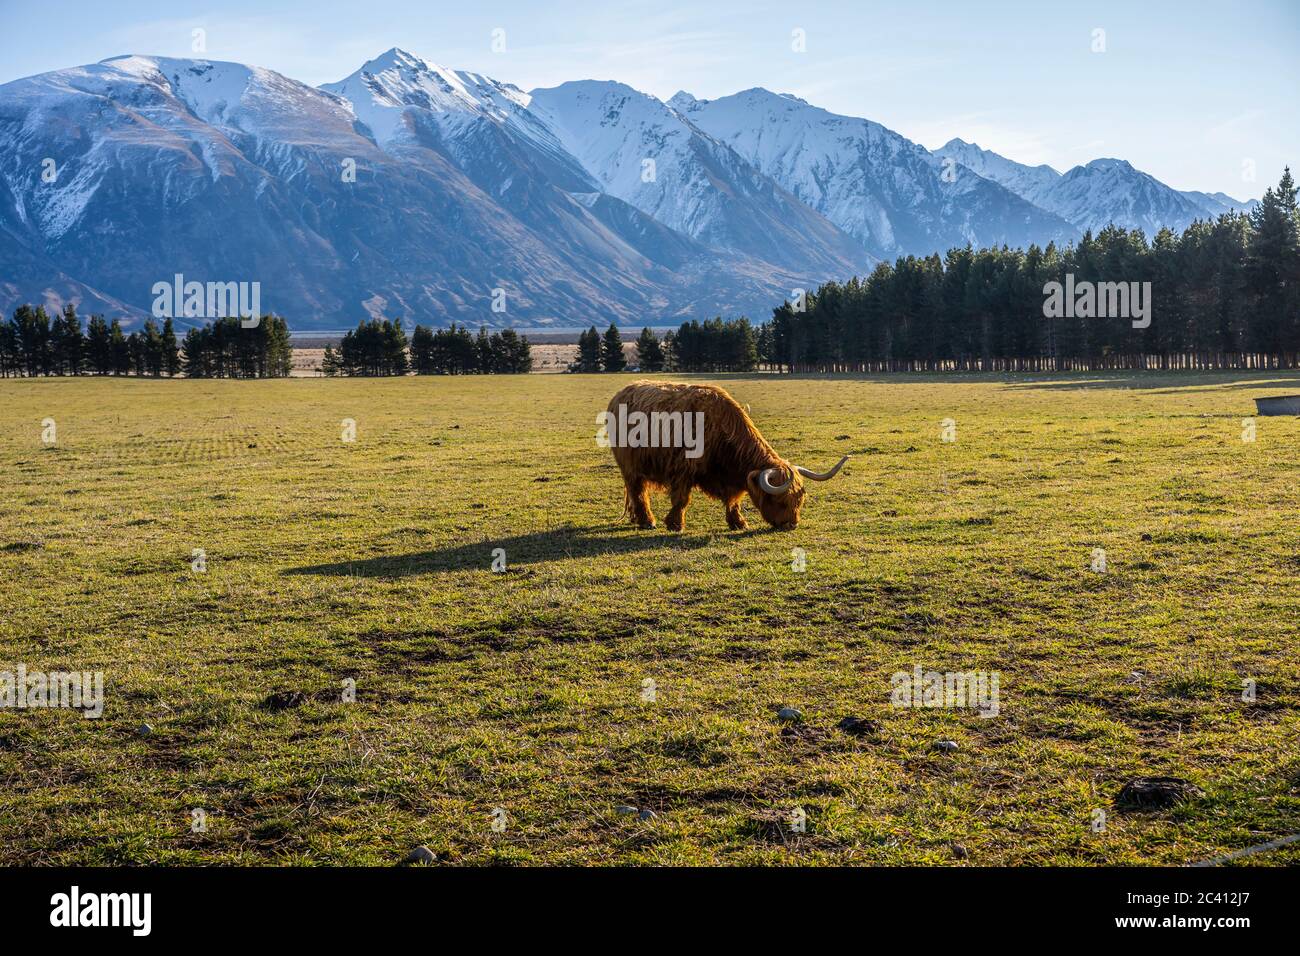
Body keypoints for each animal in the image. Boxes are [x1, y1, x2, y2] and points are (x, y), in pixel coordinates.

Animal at [603, 381, 849, 532]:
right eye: (779, 499)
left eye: (799, 499)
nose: (791, 524)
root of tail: (621, 393)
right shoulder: (683, 469)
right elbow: (681, 499)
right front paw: (675, 524)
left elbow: (733, 501)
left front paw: (738, 522)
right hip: (630, 466)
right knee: (638, 491)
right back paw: (647, 521)